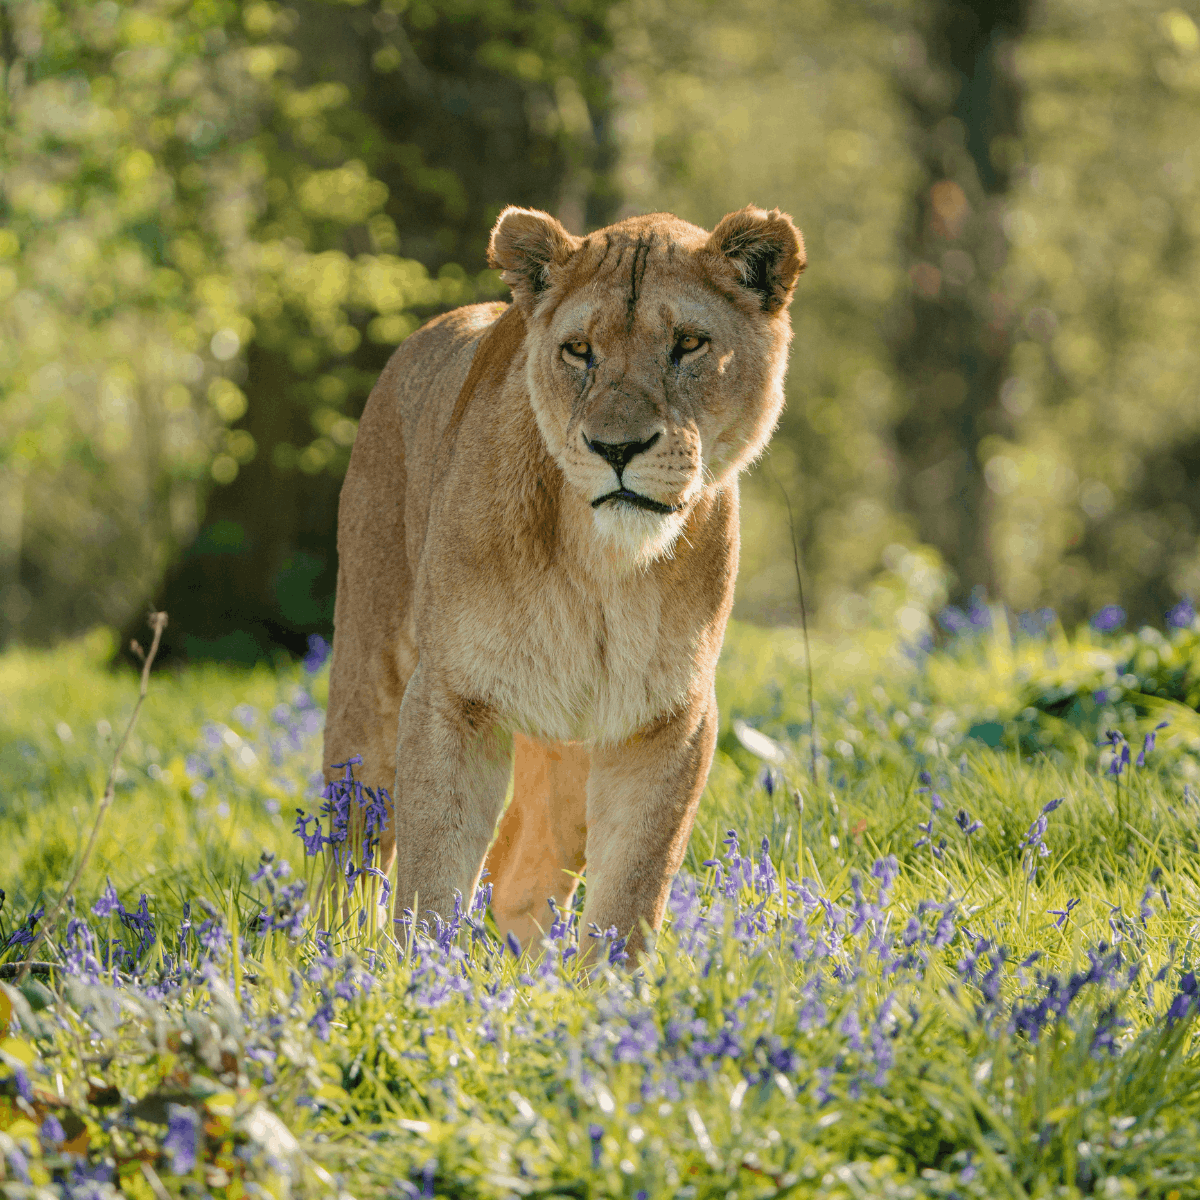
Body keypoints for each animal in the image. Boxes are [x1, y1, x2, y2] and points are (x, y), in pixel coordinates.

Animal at [322, 204, 805, 964]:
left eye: (689, 344)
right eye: (579, 350)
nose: (616, 449)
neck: (600, 563)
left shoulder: (666, 717)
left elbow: (633, 886)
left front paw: (605, 989)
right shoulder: (450, 696)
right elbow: (430, 875)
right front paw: (420, 974)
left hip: (569, 752)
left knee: (523, 870)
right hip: (370, 676)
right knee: (353, 839)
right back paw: (334, 948)